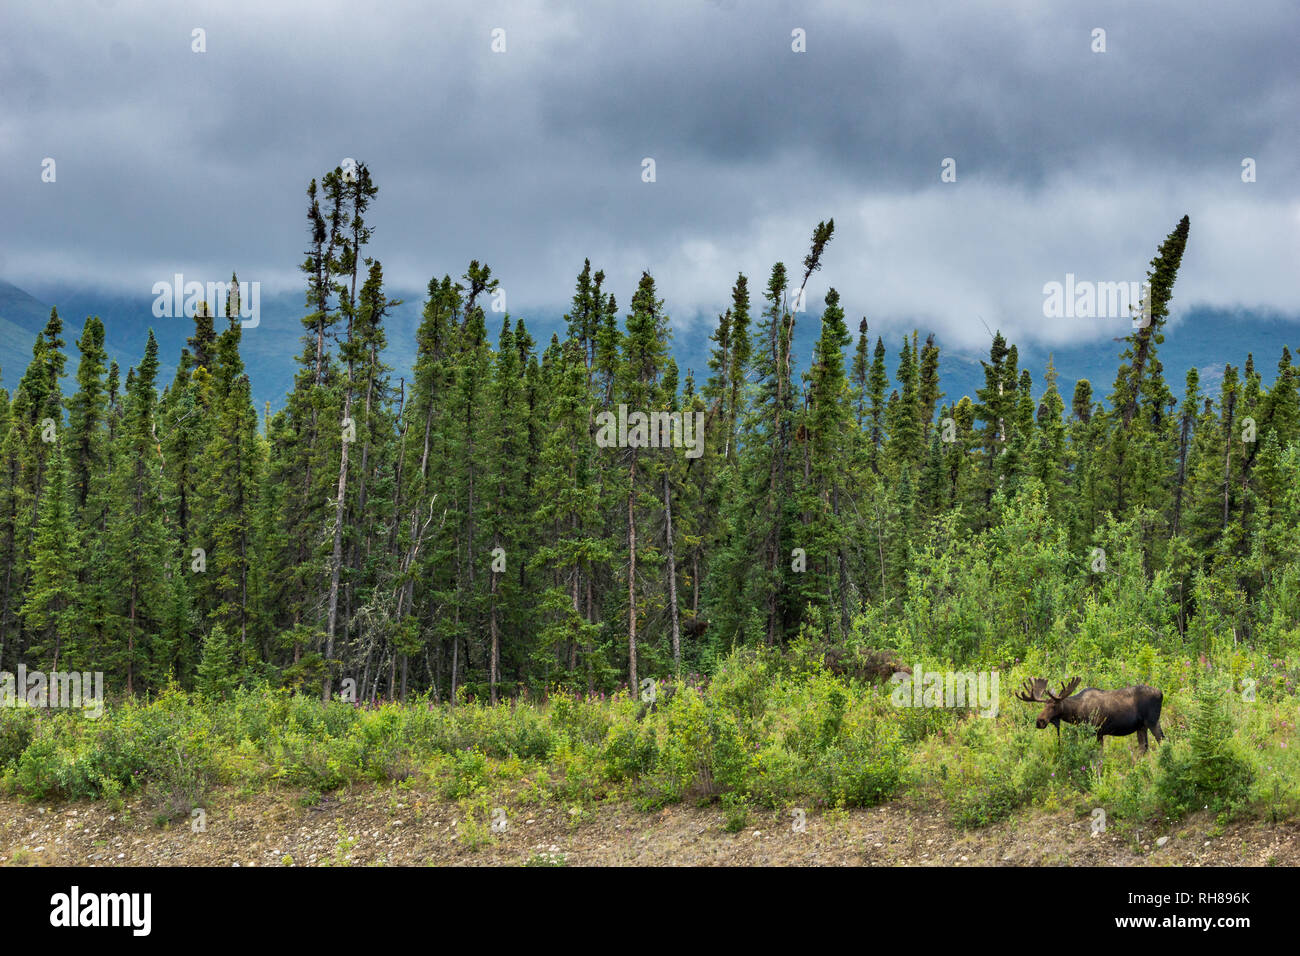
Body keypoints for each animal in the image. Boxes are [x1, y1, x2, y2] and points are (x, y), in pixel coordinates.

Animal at [1014, 677, 1165, 764]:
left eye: (1054, 705)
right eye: (1044, 705)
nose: (1039, 721)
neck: (1076, 713)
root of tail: (1161, 693)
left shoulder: (1097, 730)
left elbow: (1097, 755)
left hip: (1152, 721)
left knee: (1162, 740)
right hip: (1141, 726)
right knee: (1143, 747)